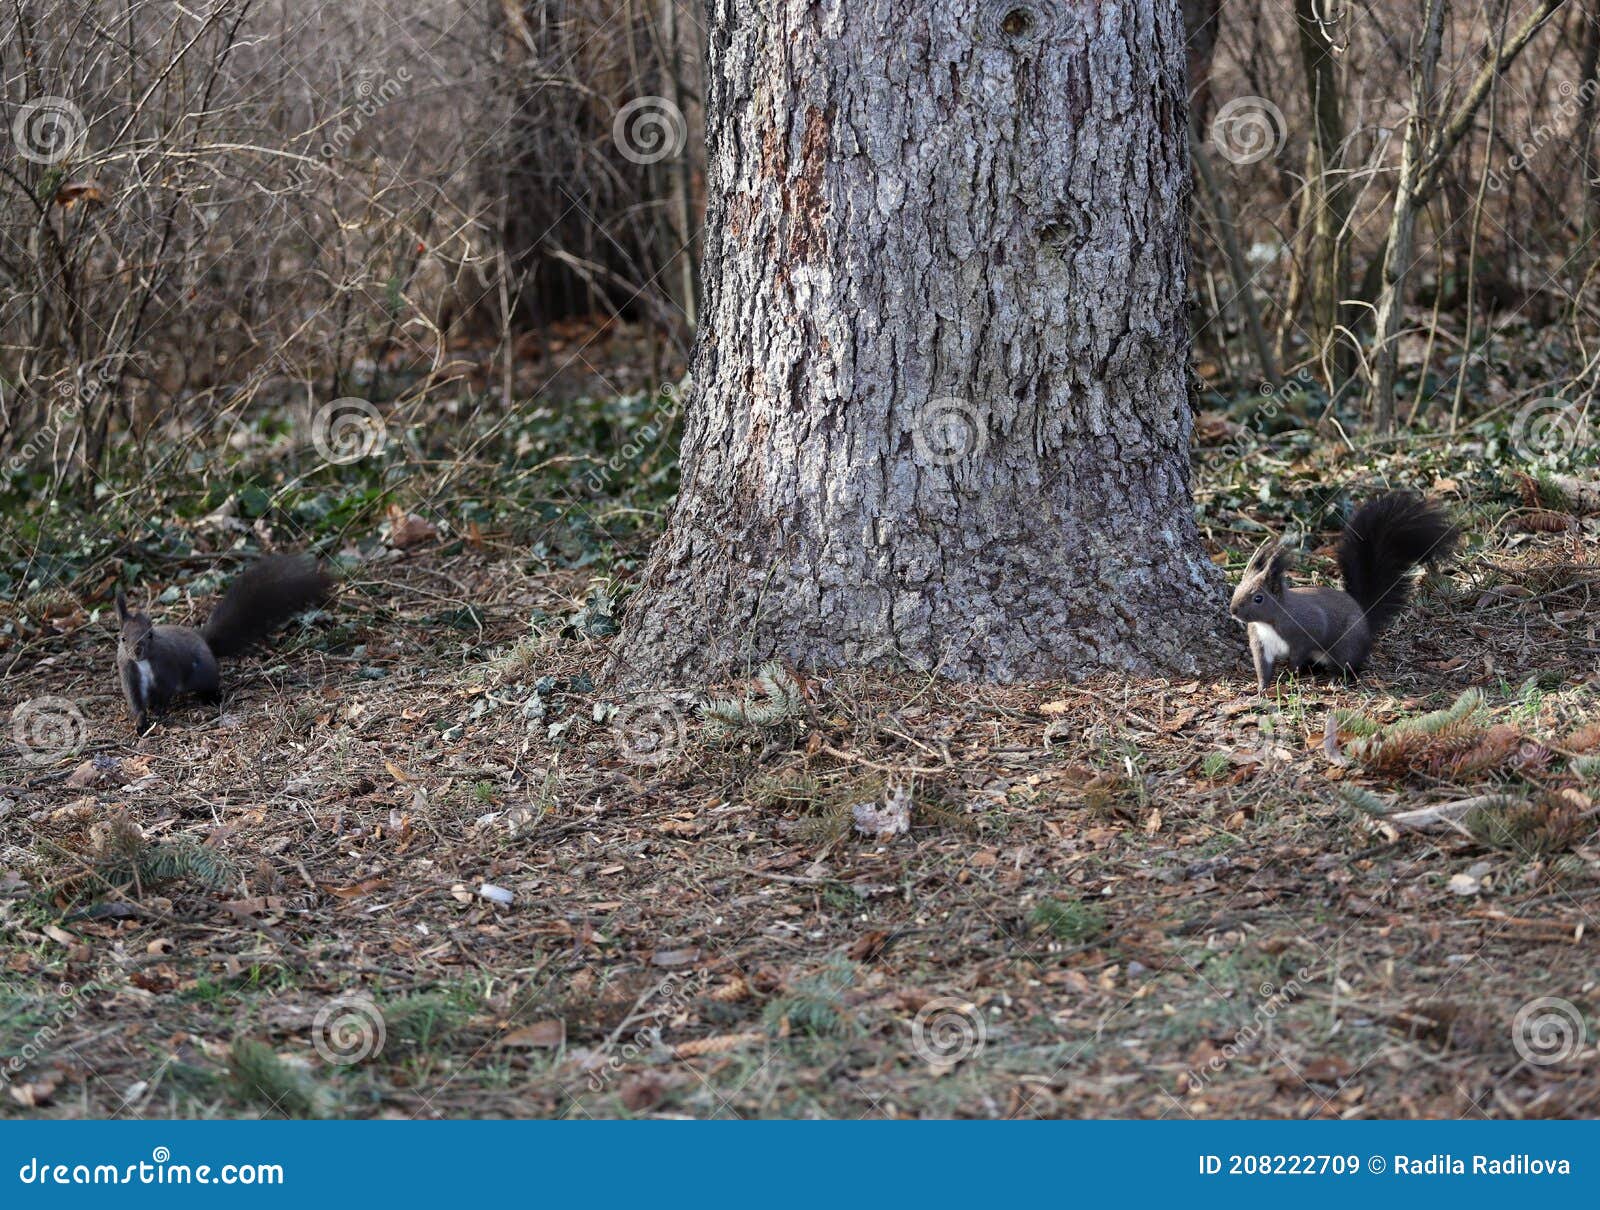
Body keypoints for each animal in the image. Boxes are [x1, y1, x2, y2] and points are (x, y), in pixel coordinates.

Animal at [115, 554, 333, 732]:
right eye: (122, 638)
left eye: (150, 635)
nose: (137, 651)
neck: (143, 663)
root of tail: (203, 640)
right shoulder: (128, 673)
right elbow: (135, 700)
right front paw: (141, 722)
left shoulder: (167, 666)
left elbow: (165, 690)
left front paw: (159, 710)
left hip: (205, 674)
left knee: (209, 685)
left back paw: (212, 699)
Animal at [1230, 491, 1458, 693]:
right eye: (1237, 589)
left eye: (1258, 598)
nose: (1233, 610)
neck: (1268, 622)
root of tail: (1364, 617)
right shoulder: (1260, 643)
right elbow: (1263, 668)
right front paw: (1260, 689)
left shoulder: (1307, 629)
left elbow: (1299, 653)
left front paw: (1291, 674)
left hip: (1346, 645)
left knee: (1349, 665)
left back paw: (1336, 679)